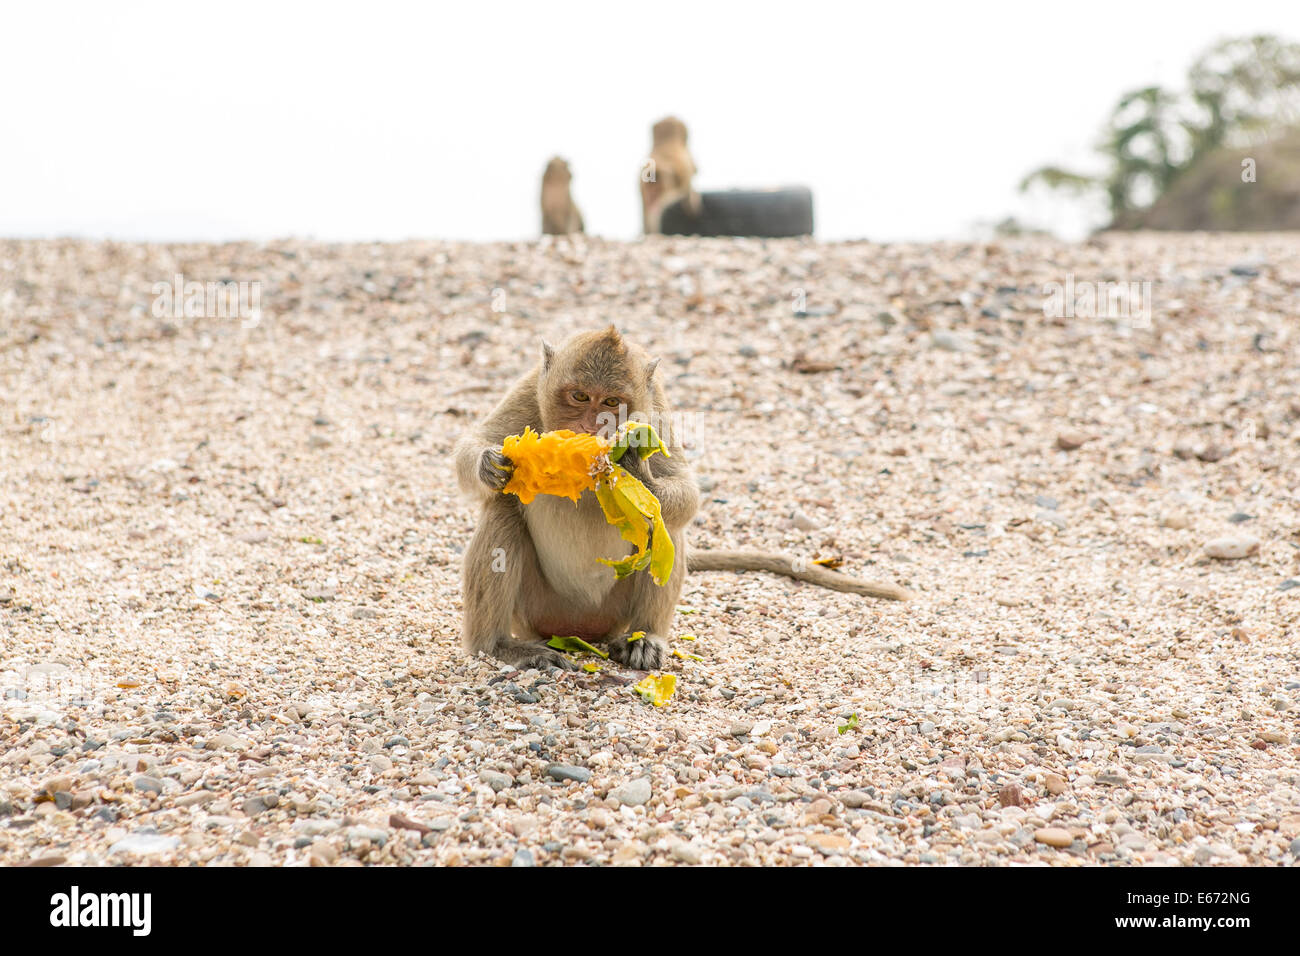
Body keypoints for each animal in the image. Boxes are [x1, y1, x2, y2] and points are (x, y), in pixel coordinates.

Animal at [454, 327, 911, 674]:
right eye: (580, 397)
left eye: (612, 403)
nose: (592, 426)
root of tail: (581, 630)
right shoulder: (527, 389)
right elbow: (469, 451)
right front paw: (491, 465)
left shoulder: (656, 410)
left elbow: (684, 496)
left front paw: (633, 471)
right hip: (536, 610)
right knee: (502, 513)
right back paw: (498, 646)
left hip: (613, 611)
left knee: (665, 529)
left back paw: (644, 640)